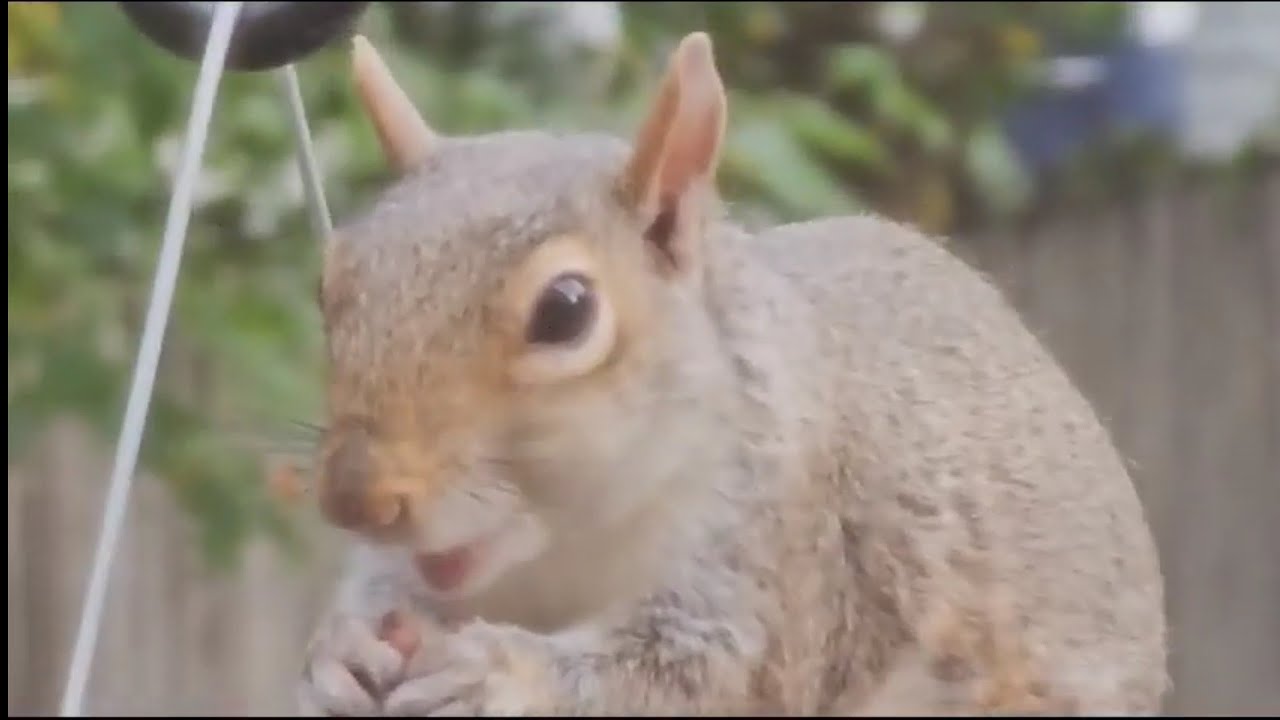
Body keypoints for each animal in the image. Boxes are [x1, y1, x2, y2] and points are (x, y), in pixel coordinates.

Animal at [295, 32, 1168, 716]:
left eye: (567, 311)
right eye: (328, 284)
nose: (357, 499)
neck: (565, 548)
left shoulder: (780, 554)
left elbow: (690, 681)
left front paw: (496, 671)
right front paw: (336, 651)